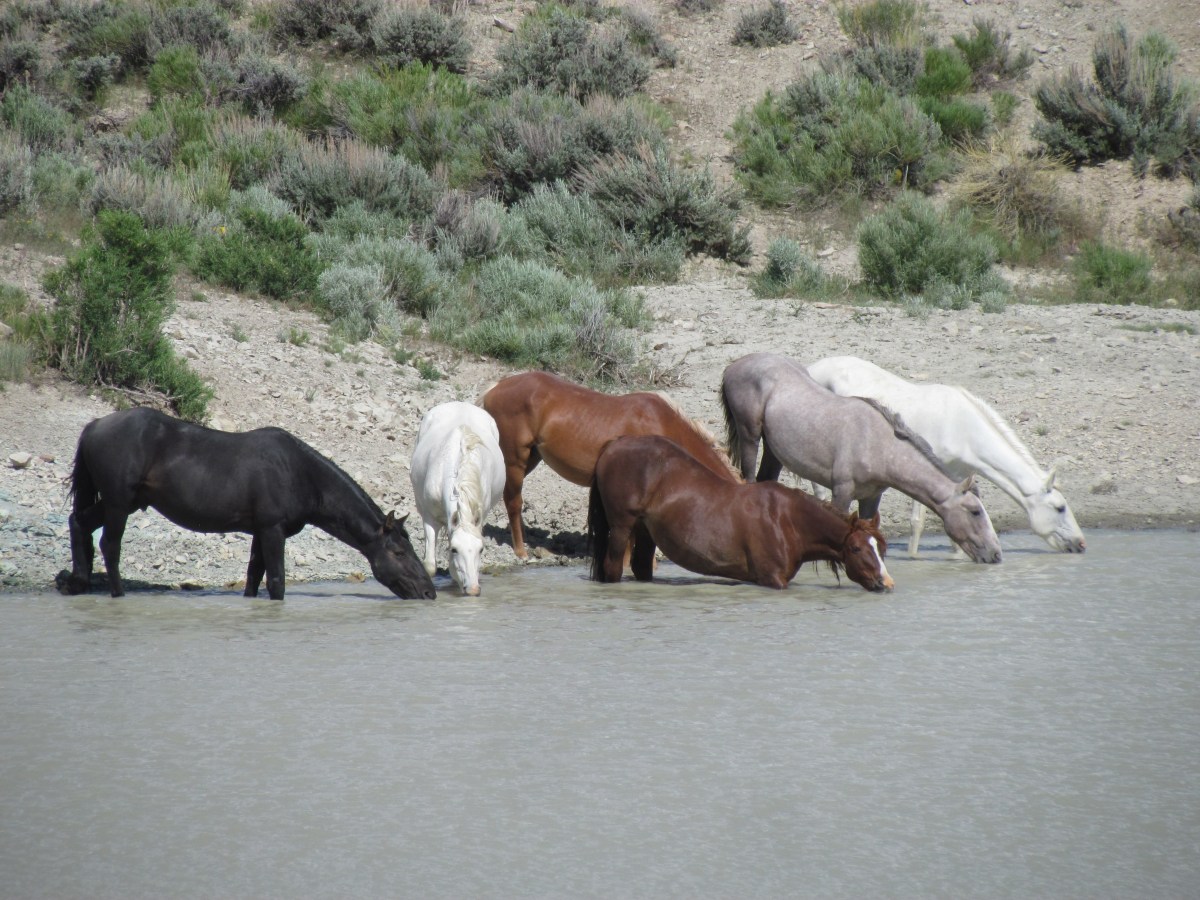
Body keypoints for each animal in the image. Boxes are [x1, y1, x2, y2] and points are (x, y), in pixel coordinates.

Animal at [64, 407, 436, 600]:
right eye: (399, 552)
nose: (429, 591)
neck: (301, 473)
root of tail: (94, 426)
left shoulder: (261, 531)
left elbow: (253, 578)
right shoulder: (273, 530)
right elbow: (276, 581)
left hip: (120, 502)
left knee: (78, 523)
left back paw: (79, 582)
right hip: (118, 503)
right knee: (109, 545)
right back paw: (117, 594)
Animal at [481, 370, 739, 560]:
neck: (662, 426)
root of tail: (495, 388)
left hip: (531, 458)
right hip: (514, 459)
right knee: (513, 502)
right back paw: (521, 551)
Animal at [587, 435, 893, 592]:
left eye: (880, 549)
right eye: (856, 548)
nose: (886, 582)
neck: (788, 521)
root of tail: (613, 445)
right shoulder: (771, 580)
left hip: (645, 531)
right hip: (622, 526)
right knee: (613, 568)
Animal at [720, 352, 1003, 564]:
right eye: (976, 511)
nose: (996, 554)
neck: (877, 446)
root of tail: (735, 365)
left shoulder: (871, 497)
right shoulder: (842, 491)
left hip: (773, 449)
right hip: (749, 435)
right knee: (748, 479)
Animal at [807, 355, 1086, 555]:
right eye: (1060, 508)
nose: (1081, 544)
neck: (962, 429)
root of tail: (812, 367)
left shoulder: (957, 477)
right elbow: (917, 521)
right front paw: (913, 558)